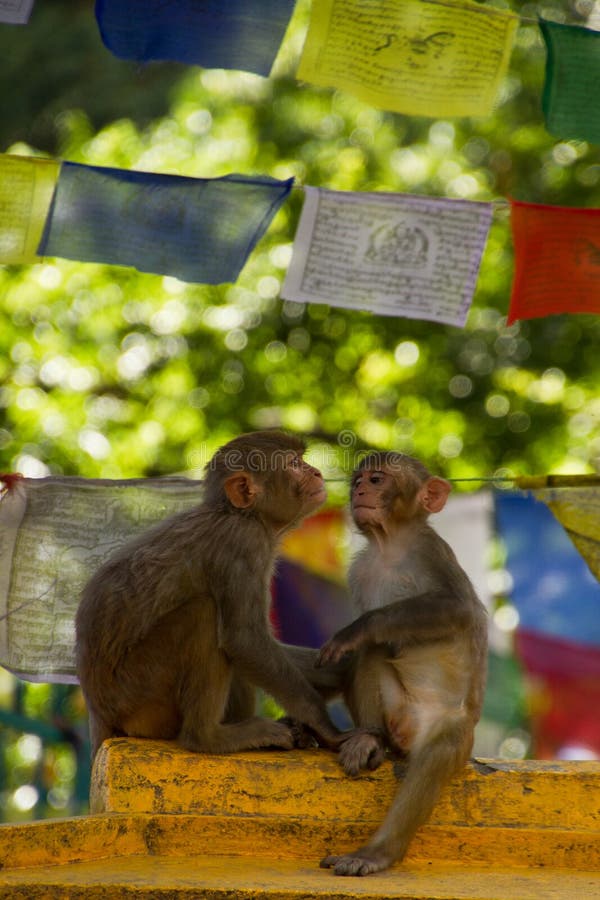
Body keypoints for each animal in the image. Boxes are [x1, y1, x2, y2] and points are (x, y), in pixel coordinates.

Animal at [75, 430, 350, 762]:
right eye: (294, 465)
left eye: (302, 461)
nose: (317, 473)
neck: (241, 514)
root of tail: (98, 711)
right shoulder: (243, 542)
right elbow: (244, 639)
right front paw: (325, 725)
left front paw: (341, 668)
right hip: (140, 698)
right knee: (205, 615)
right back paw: (209, 738)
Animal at [315, 451, 488, 876]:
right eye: (358, 479)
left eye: (377, 479)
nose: (359, 490)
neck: (389, 546)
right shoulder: (361, 569)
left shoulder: (431, 552)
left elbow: (457, 609)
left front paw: (358, 628)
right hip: (396, 714)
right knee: (372, 652)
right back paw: (370, 738)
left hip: (455, 734)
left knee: (432, 762)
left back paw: (377, 853)